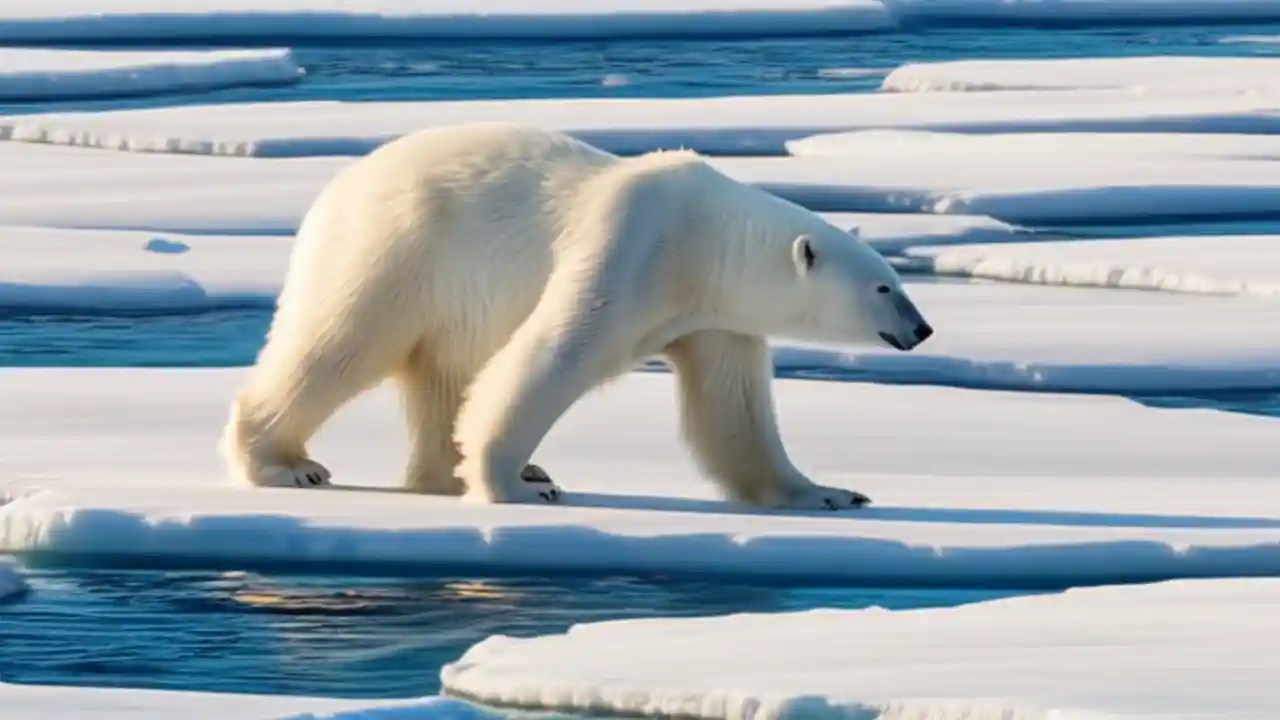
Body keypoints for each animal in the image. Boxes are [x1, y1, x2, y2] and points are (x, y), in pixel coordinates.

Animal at [222, 123, 932, 509]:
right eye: (884, 287)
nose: (921, 329)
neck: (708, 239)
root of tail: (335, 189)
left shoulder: (716, 316)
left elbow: (736, 410)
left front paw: (832, 493)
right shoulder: (631, 243)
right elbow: (553, 353)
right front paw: (514, 485)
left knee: (446, 371)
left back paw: (446, 474)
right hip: (399, 248)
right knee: (340, 343)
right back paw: (288, 464)